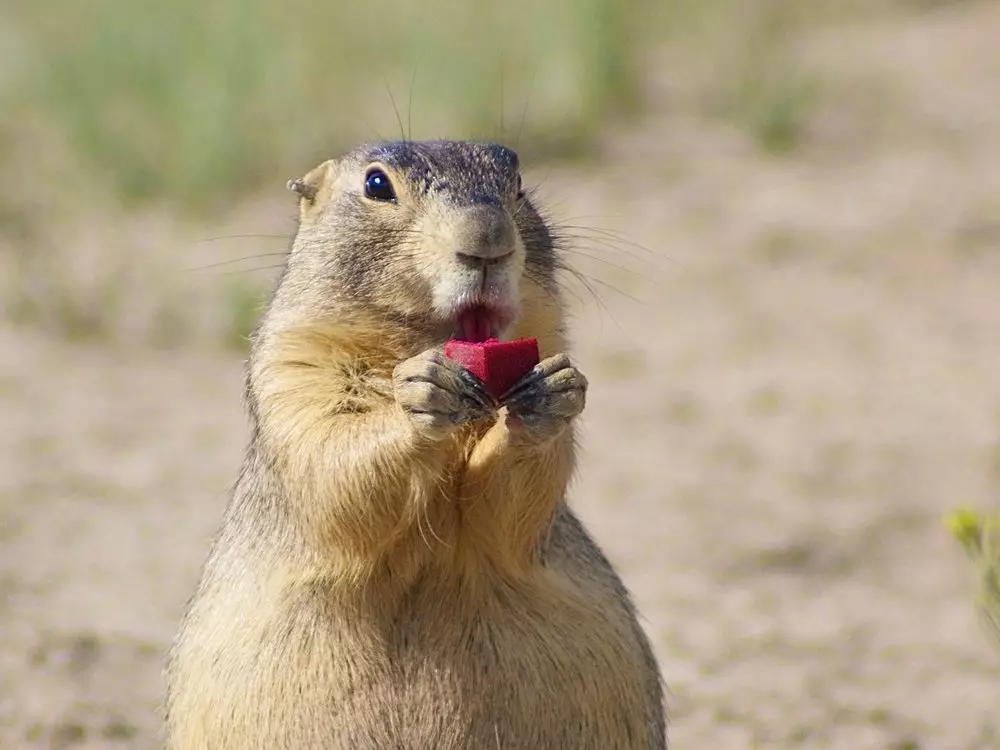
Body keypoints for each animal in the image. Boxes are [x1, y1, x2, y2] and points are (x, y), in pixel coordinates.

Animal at [164, 140, 668, 748]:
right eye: (377, 184)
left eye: (518, 181)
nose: (487, 237)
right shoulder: (294, 368)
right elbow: (329, 454)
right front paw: (422, 392)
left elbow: (512, 512)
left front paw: (553, 393)